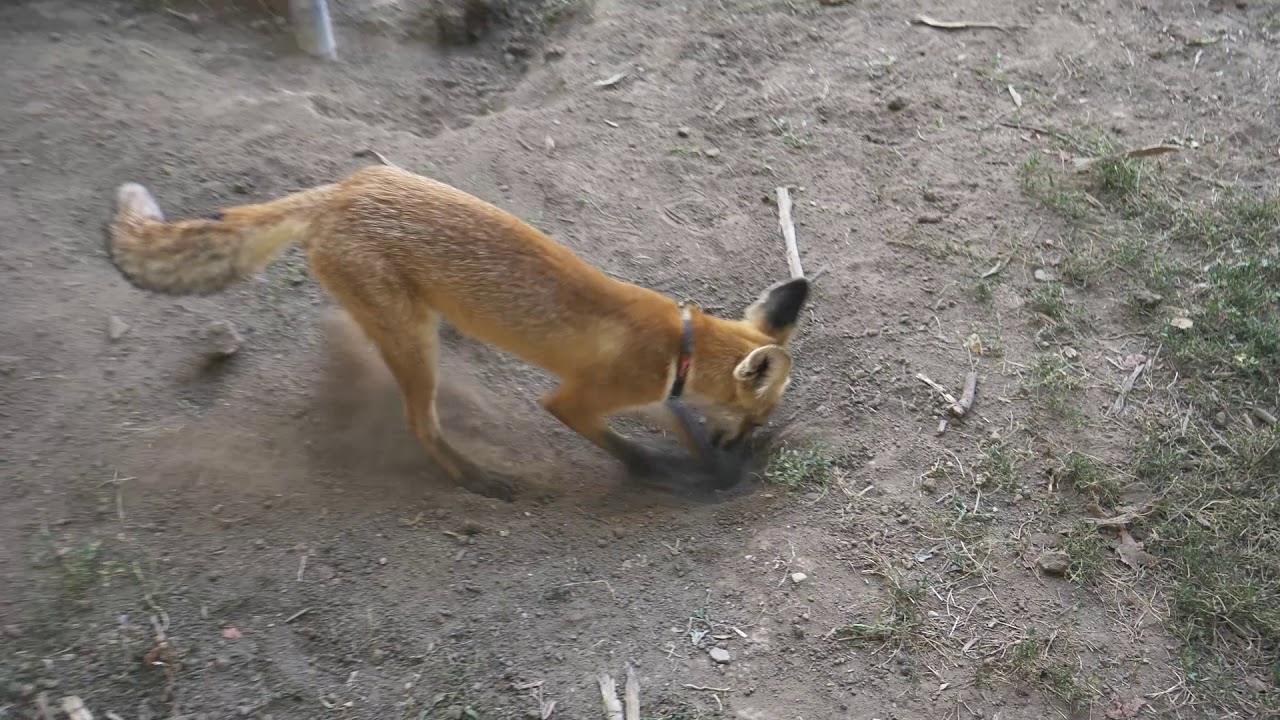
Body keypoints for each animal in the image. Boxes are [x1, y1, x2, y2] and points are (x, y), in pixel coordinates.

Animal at [106, 164, 810, 500]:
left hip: (401, 321)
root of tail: (342, 191)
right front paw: (664, 474)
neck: (679, 347)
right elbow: (629, 449)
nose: (751, 436)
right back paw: (475, 479)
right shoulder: (575, 400)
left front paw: (718, 472)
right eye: (753, 414)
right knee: (421, 424)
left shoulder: (651, 396)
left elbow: (683, 430)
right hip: (417, 343)